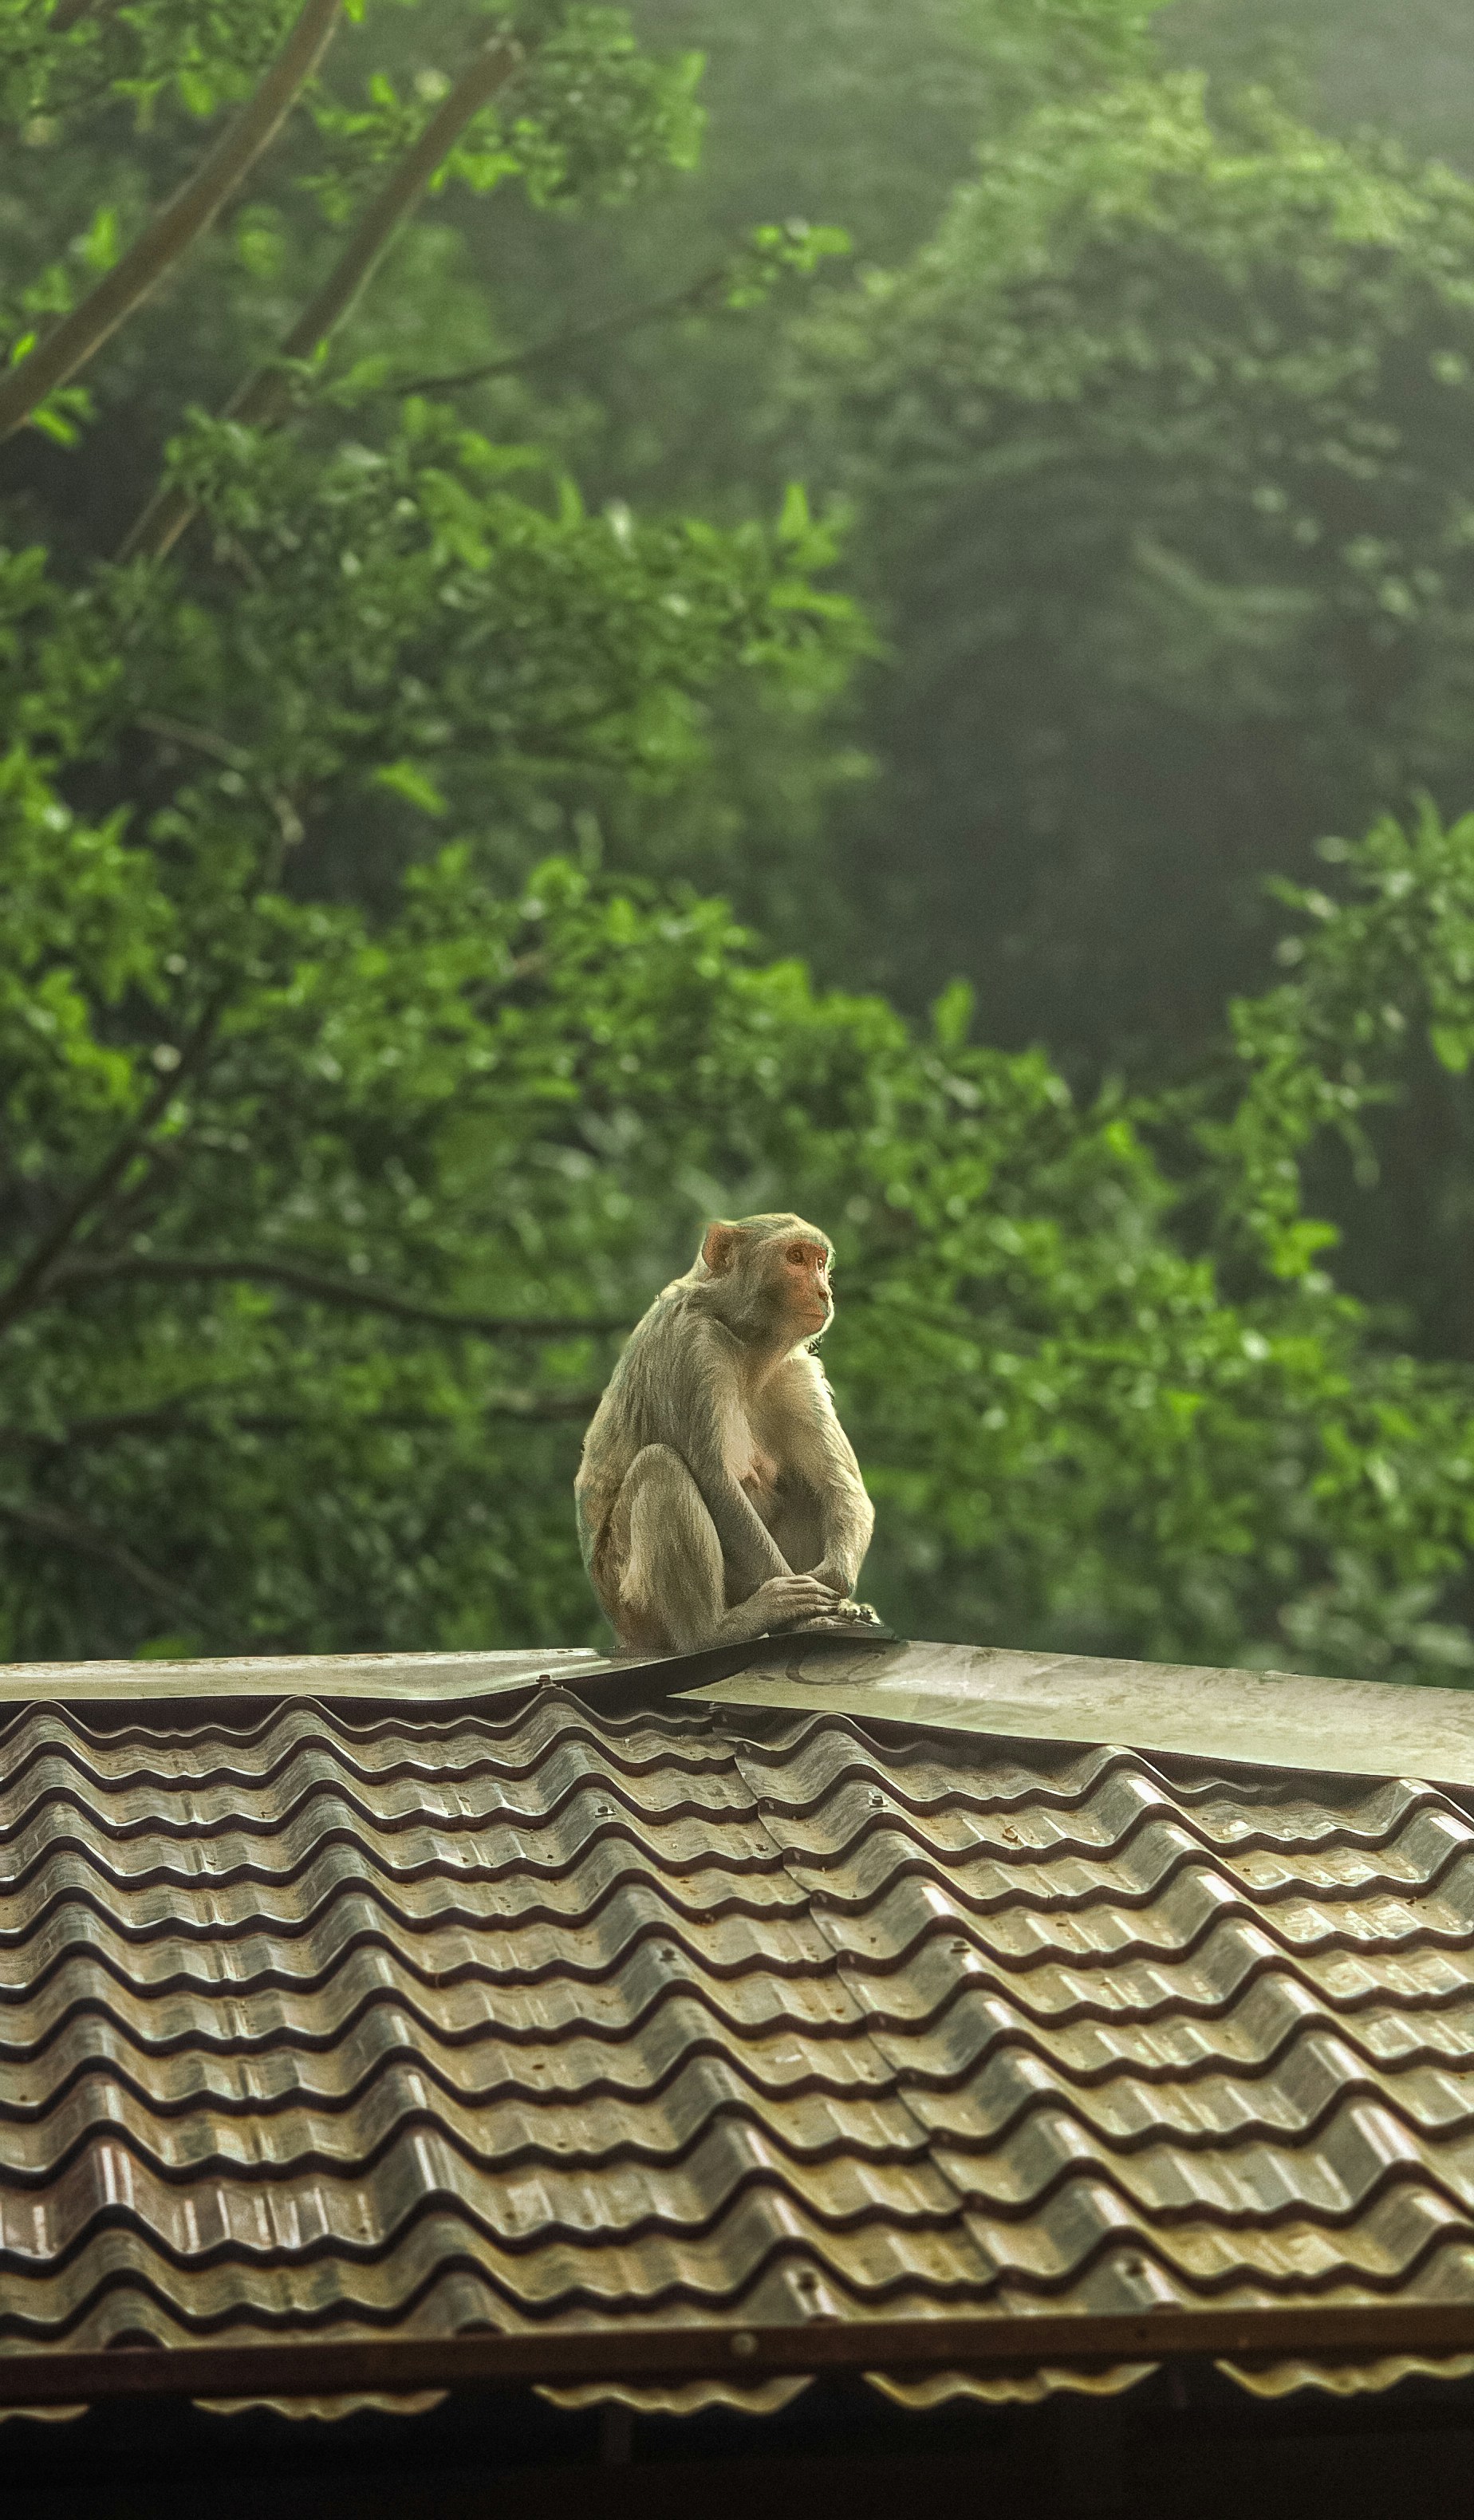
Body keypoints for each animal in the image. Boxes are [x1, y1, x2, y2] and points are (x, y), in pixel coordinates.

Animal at [575, 1213, 877, 1654]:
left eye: (820, 1263)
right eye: (796, 1257)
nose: (824, 1290)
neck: (744, 1340)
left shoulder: (795, 1371)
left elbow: (840, 1487)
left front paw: (836, 1587)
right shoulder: (691, 1344)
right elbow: (715, 1481)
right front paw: (808, 1611)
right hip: (630, 1597)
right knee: (661, 1465)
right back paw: (714, 1631)